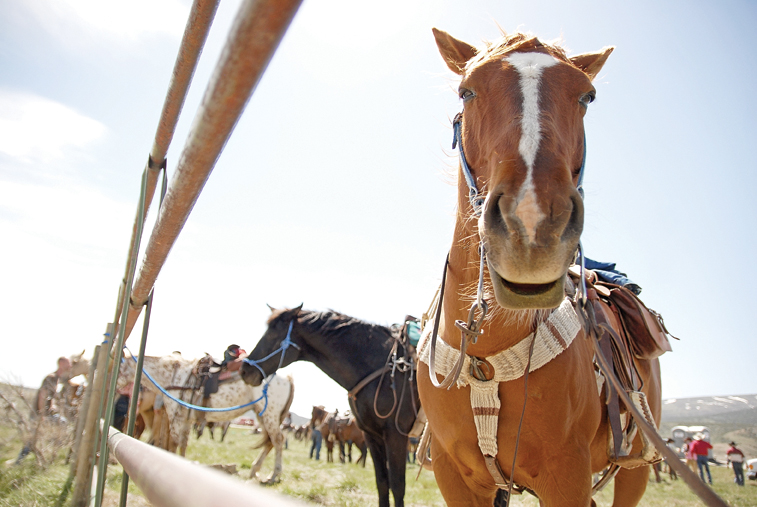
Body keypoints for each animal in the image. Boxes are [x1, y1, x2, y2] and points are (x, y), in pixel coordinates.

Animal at [118, 352, 295, 483]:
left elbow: (173, 444)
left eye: (119, 363)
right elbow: (183, 444)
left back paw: (274, 474)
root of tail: (287, 377)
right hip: (262, 415)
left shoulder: (176, 417)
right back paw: (254, 470)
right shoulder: (186, 420)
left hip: (269, 414)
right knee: (270, 441)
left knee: (278, 439)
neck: (173, 375)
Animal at [241, 307, 419, 507]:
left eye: (272, 334)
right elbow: (382, 482)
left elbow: (397, 486)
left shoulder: (396, 435)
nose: (245, 370)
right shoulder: (372, 436)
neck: (385, 368)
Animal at [415, 28, 662, 507]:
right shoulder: (456, 478)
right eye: (466, 90)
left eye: (587, 96)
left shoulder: (567, 476)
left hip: (636, 469)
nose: (531, 226)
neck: (484, 358)